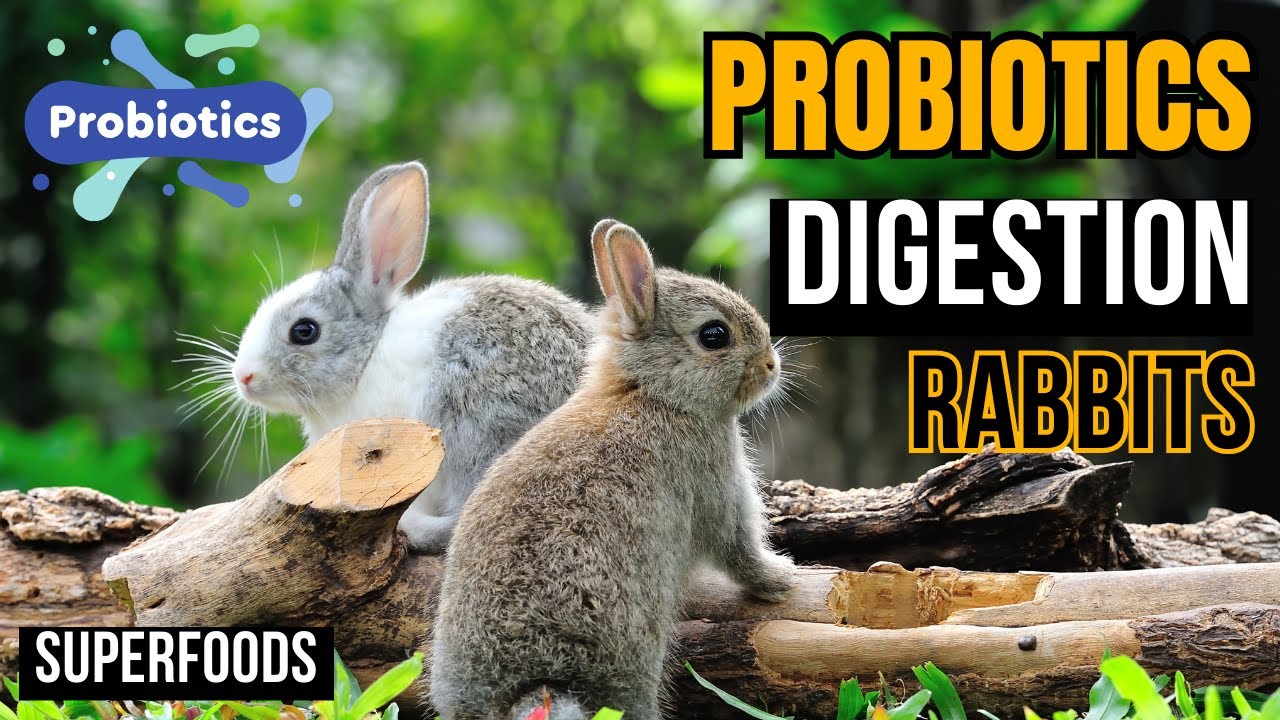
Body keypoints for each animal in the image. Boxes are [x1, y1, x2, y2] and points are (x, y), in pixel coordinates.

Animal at [428, 219, 797, 720]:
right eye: (714, 335)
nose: (771, 365)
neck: (652, 393)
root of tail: (535, 684)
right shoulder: (717, 484)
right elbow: (738, 549)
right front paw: (782, 580)